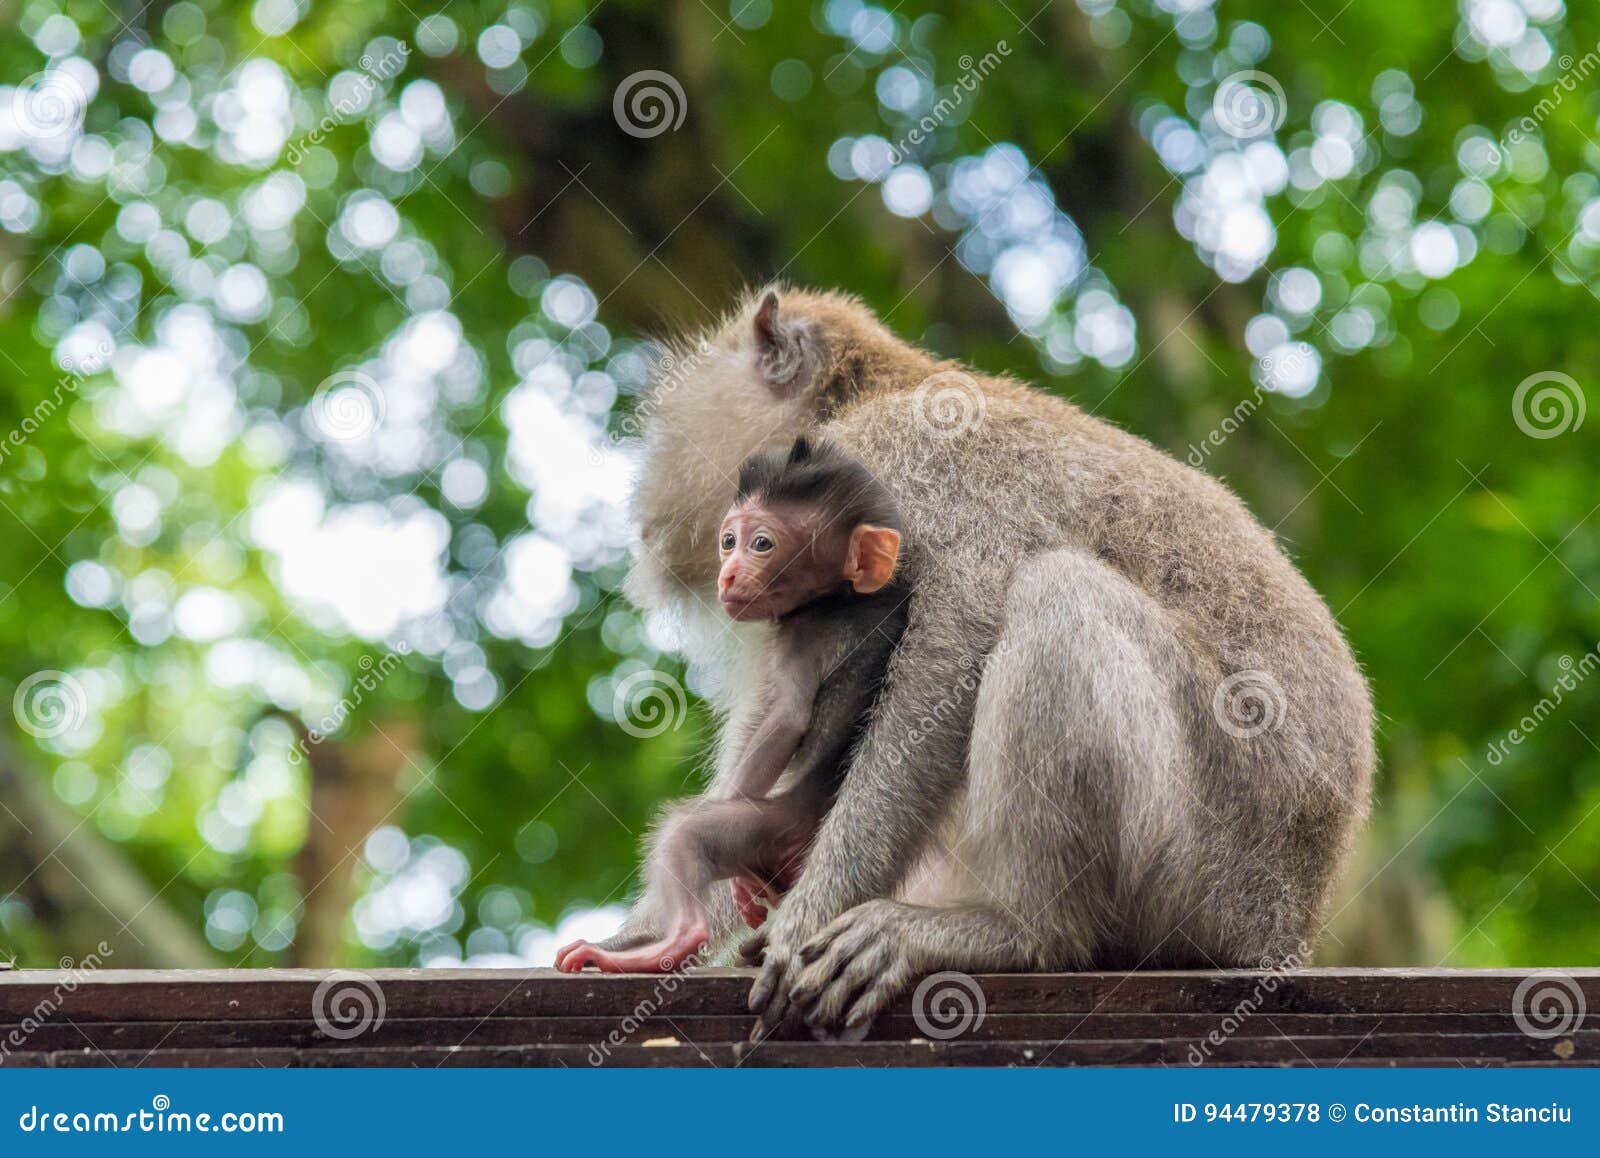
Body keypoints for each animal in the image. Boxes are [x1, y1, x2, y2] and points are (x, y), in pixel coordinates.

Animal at [555, 437, 910, 973]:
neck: (842, 598)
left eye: (760, 544)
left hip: (768, 831)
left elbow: (786, 718)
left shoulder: (801, 637)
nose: (727, 575)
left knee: (686, 836)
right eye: (727, 542)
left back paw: (670, 942)